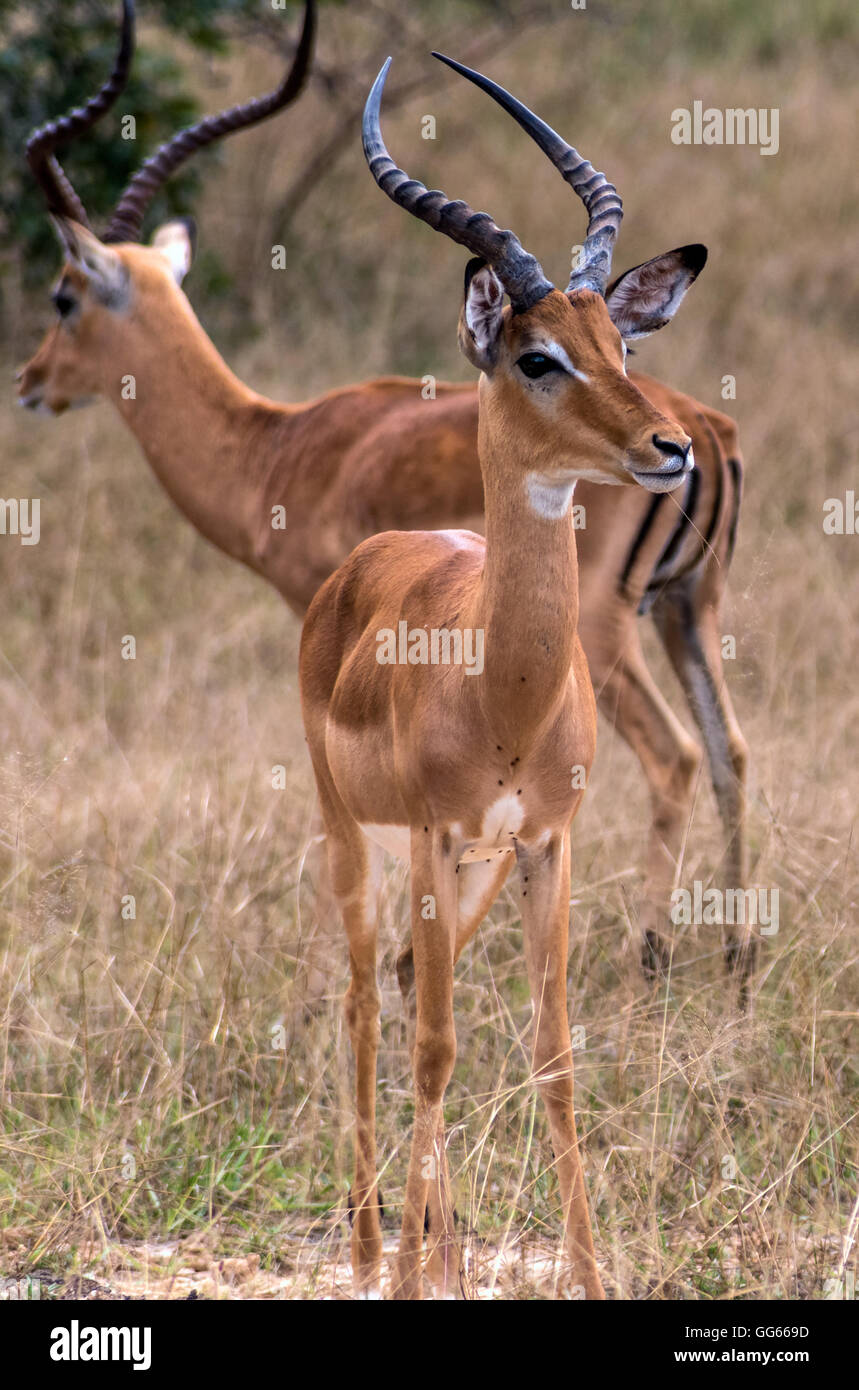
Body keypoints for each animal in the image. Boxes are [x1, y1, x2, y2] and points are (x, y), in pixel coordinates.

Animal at [16, 0, 750, 982]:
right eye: (585, 350)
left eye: (63, 297)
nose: (30, 381)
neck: (275, 447)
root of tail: (708, 428)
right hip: (689, 611)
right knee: (729, 751)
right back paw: (737, 957)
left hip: (612, 629)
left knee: (672, 757)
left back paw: (651, 958)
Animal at [299, 57, 704, 1300]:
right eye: (538, 356)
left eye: (621, 345)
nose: (669, 446)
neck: (501, 695)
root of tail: (365, 563)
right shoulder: (435, 835)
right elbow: (435, 1048)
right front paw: (408, 1277)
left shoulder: (544, 843)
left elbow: (552, 1049)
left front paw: (585, 1272)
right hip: (355, 835)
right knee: (365, 999)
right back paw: (374, 1245)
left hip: (470, 870)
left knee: (393, 981)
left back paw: (435, 1236)